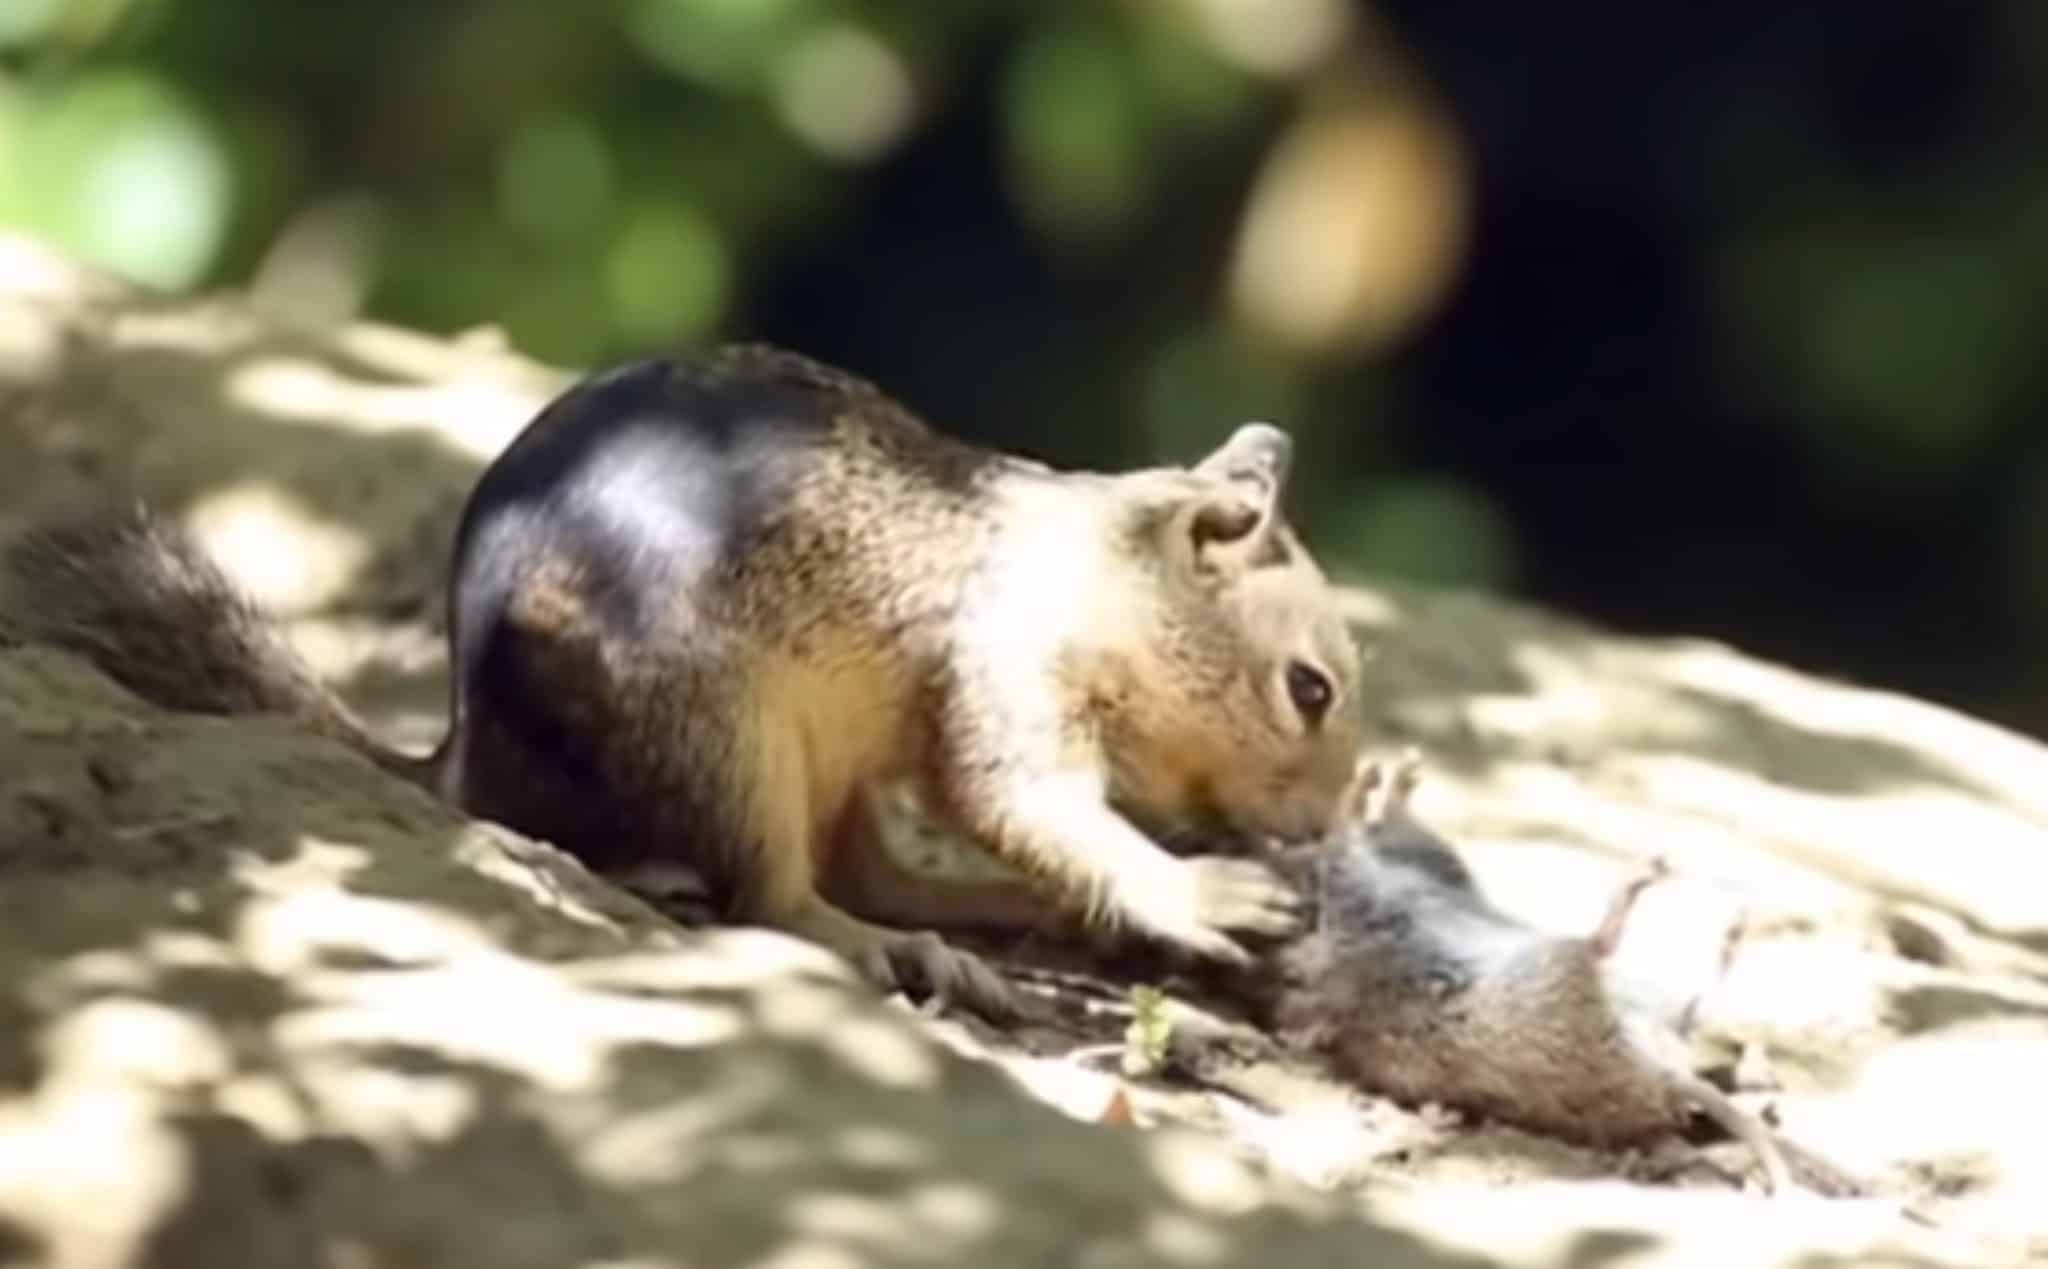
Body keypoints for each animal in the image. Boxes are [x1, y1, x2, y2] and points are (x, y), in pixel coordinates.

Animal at [3, 344, 1364, 1021]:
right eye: (1308, 688)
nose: (1315, 830)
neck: (1084, 570)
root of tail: (467, 760)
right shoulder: (1002, 667)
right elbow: (1020, 801)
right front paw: (1199, 893)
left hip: (825, 756)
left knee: (866, 866)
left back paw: (982, 921)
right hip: (726, 734)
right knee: (781, 899)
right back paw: (894, 950)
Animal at [1255, 751, 1794, 1194]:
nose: (1285, 850)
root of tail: (1661, 1074)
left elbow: (1376, 826)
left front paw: (1389, 779)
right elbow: (1349, 829)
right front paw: (1373, 786)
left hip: (1639, 994)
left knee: (1690, 988)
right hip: (1567, 971)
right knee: (1603, 943)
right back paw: (1649, 882)